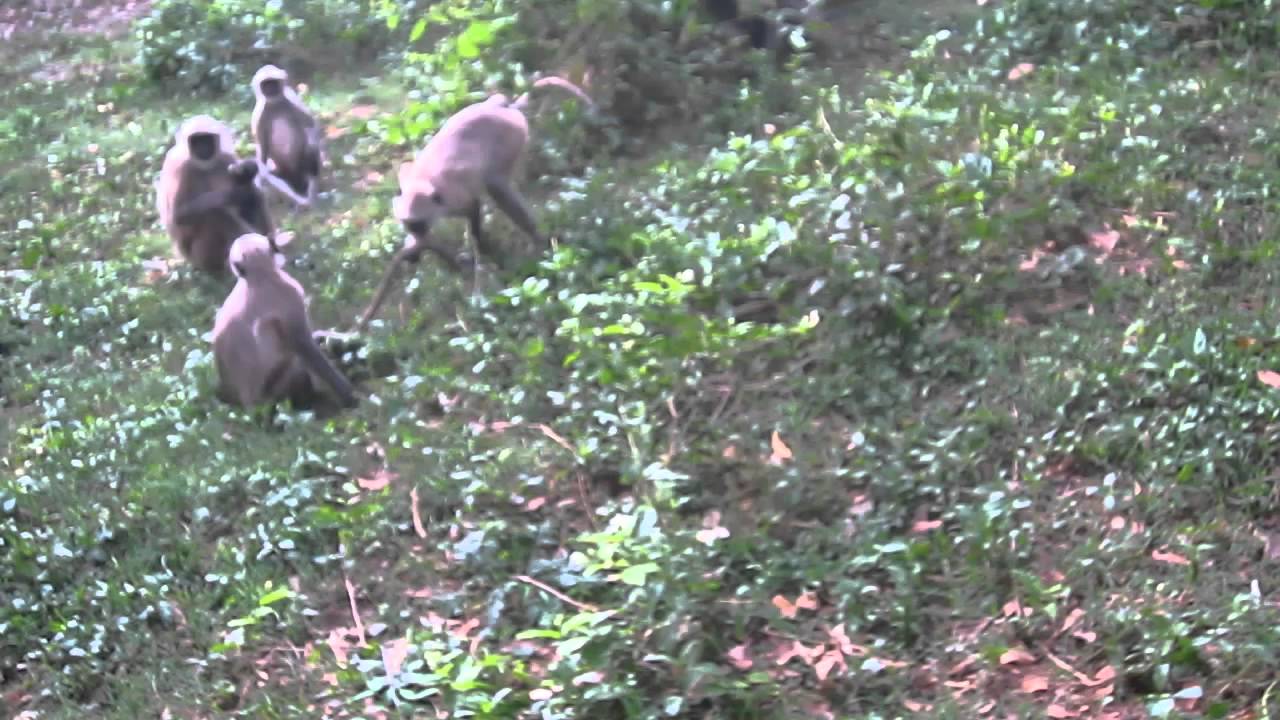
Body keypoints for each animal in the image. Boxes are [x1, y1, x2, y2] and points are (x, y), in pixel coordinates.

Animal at [156, 116, 274, 274]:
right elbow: (178, 216)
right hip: (198, 256)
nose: (202, 147)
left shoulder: (225, 158)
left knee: (254, 197)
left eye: (207, 139)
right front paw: (236, 193)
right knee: (215, 213)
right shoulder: (179, 167)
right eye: (196, 141)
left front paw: (246, 176)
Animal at [212, 233, 357, 412]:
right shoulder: (288, 294)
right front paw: (348, 395)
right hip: (277, 393)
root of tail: (248, 408)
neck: (258, 277)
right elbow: (304, 345)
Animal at [251, 64, 323, 208]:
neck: (275, 104)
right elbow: (262, 148)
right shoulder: (259, 112)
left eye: (273, 82)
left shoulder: (291, 98)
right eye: (265, 84)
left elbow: (311, 126)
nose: (270, 89)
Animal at [356, 76, 594, 330]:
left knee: (496, 185)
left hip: (512, 138)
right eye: (409, 224)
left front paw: (478, 254)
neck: (425, 183)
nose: (416, 236)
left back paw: (538, 241)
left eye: (418, 224)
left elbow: (474, 212)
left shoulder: (457, 199)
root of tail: (501, 107)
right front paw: (417, 250)